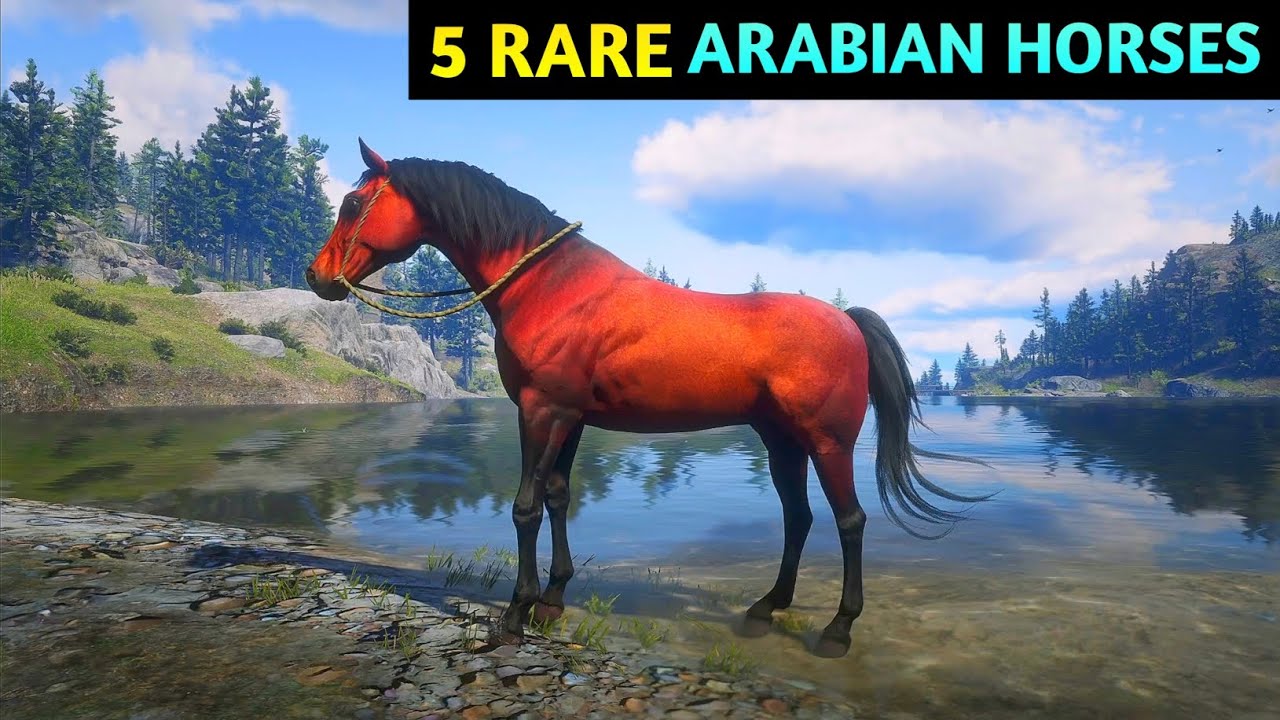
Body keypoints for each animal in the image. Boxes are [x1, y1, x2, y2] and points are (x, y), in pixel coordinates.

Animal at [305, 138, 993, 659]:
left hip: (827, 442)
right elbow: (558, 498)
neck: (552, 287)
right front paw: (552, 600)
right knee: (798, 519)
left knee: (849, 523)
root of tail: (846, 321)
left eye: (355, 201)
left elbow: (526, 506)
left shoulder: (541, 410)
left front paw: (515, 615)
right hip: (781, 443)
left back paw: (838, 631)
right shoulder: (570, 416)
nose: (317, 276)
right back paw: (766, 608)